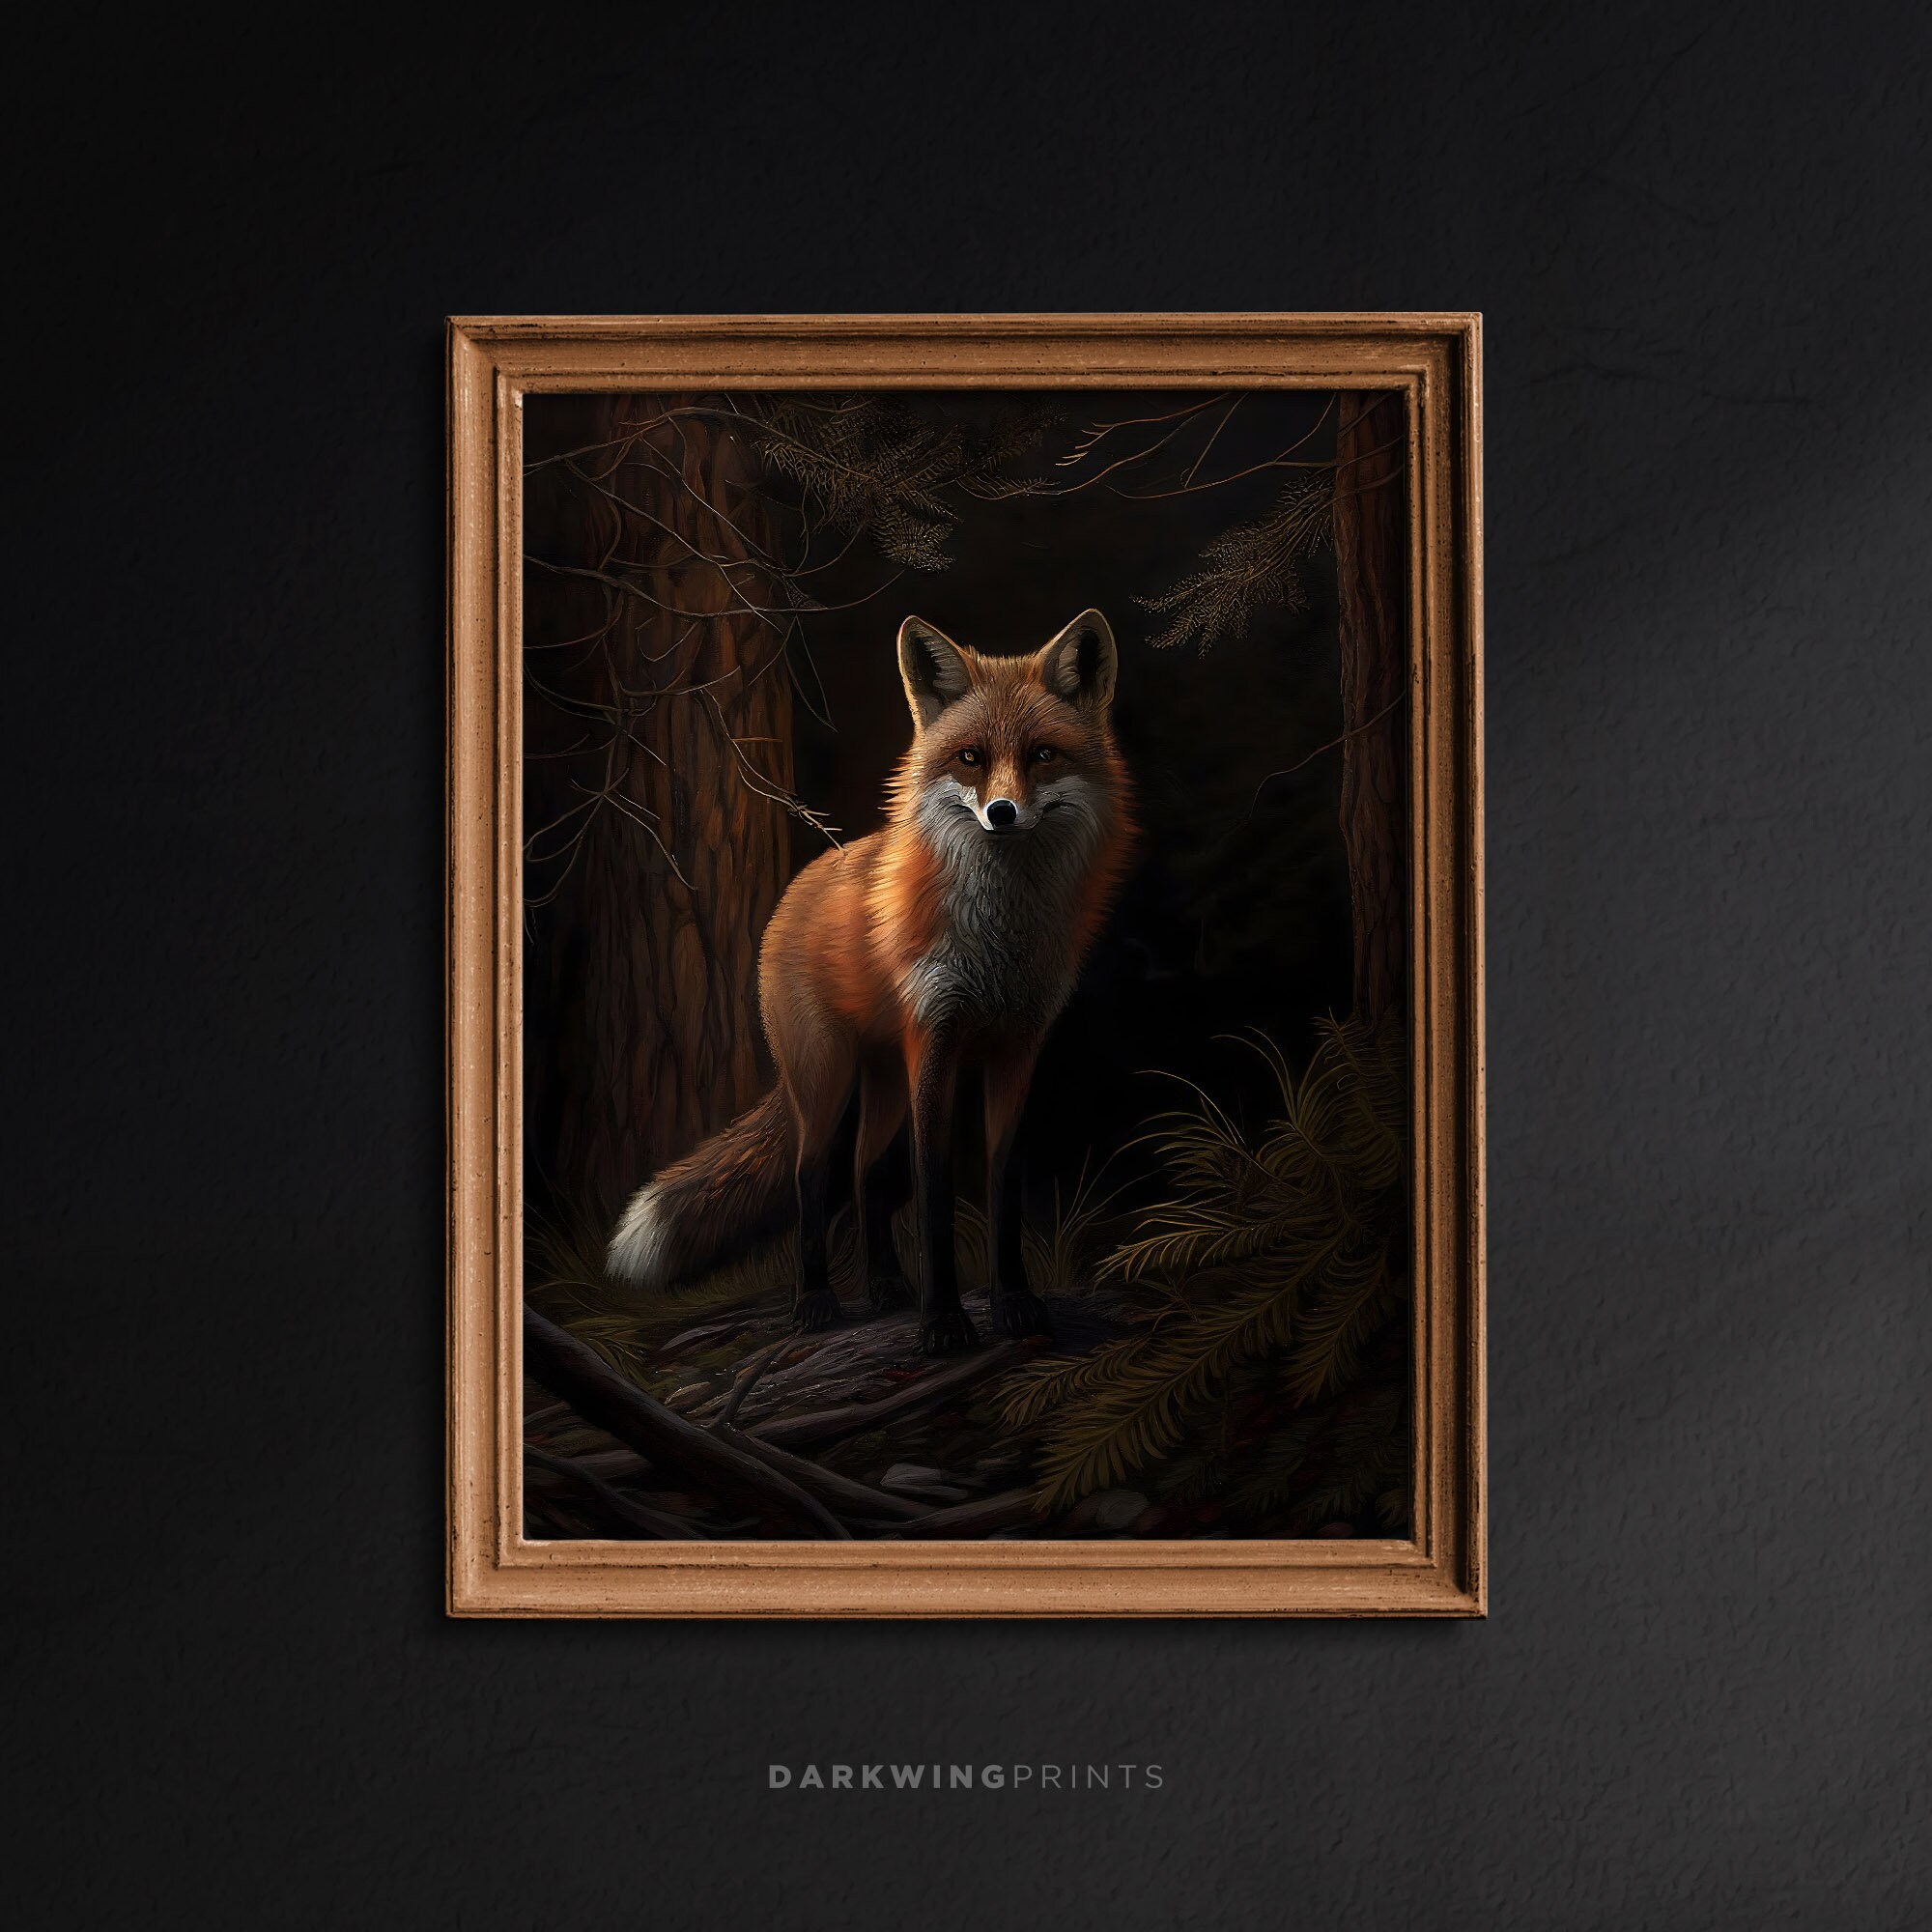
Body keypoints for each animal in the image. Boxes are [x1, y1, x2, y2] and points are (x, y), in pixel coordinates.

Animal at [606, 607, 1134, 1356]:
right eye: (970, 758)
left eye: (1043, 755)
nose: (1001, 811)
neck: (999, 942)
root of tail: (802, 882)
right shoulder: (934, 1043)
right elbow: (935, 1191)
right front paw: (942, 1322)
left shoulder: (1016, 1047)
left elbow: (999, 1186)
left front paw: (1014, 1305)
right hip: (826, 1077)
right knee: (813, 1176)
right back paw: (815, 1301)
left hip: (880, 1078)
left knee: (864, 1175)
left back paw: (886, 1287)